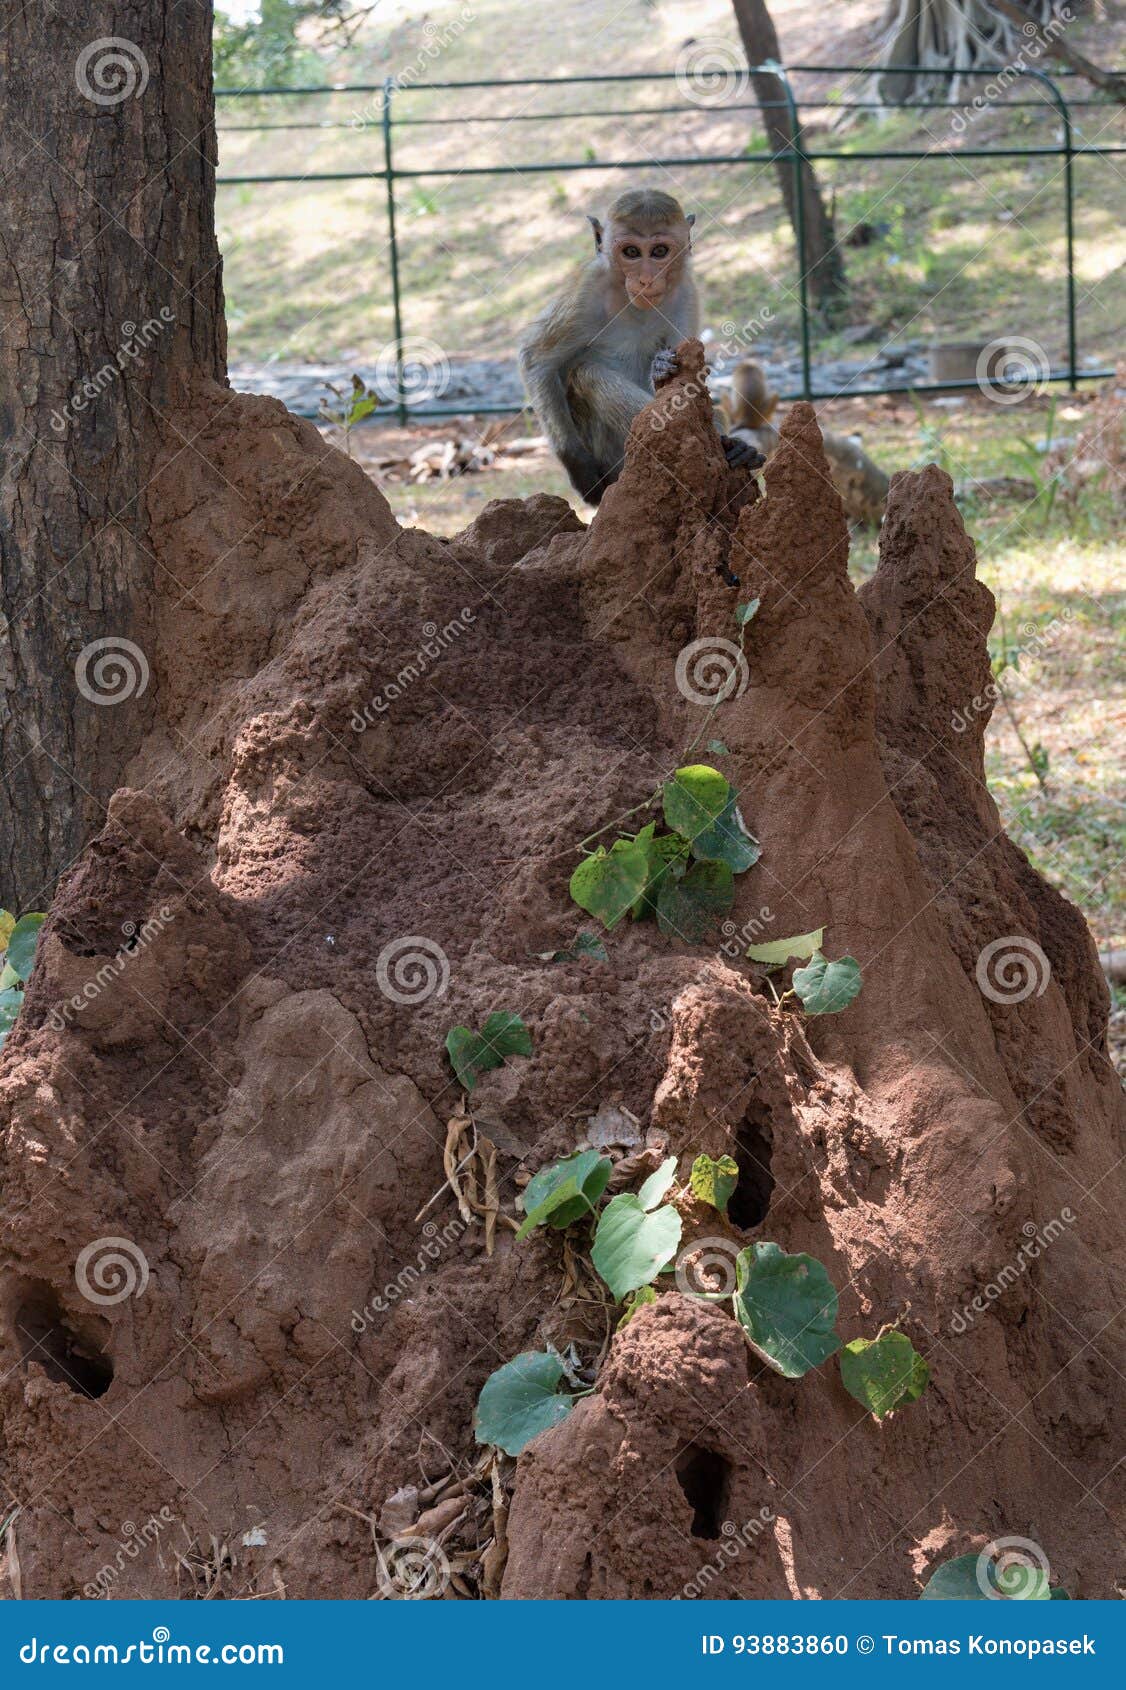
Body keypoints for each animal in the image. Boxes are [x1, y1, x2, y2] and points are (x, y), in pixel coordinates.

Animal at [518, 188, 764, 505]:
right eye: (631, 252)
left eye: (659, 251)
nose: (647, 279)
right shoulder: (587, 290)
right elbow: (536, 359)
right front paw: (576, 462)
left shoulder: (686, 291)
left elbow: (685, 379)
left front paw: (660, 369)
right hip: (613, 459)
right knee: (587, 374)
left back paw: (734, 447)